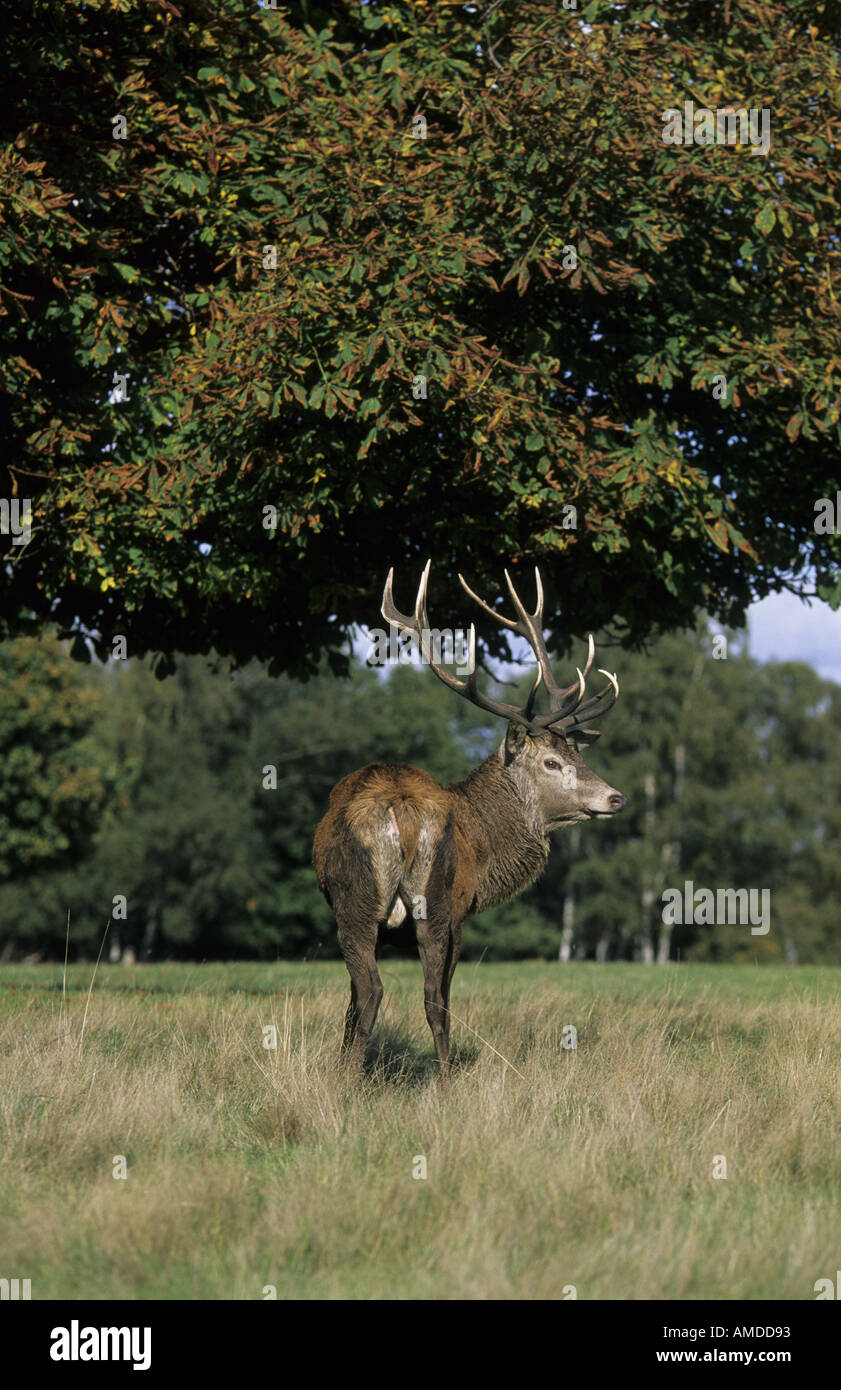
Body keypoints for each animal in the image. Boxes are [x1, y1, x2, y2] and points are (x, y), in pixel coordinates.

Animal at [313, 562, 625, 1084]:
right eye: (552, 763)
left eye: (577, 754)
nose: (616, 798)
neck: (485, 842)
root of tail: (402, 811)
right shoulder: (460, 909)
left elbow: (355, 1001)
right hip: (415, 900)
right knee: (415, 996)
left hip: (373, 901)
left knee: (381, 991)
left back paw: (366, 1080)